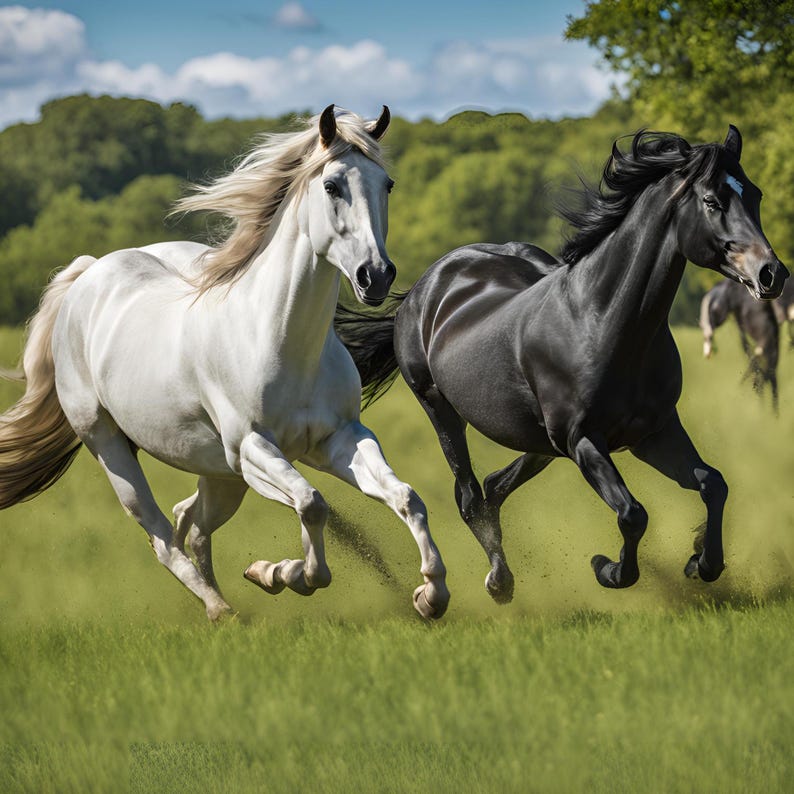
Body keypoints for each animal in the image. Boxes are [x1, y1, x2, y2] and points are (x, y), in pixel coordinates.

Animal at [0, 105, 450, 622]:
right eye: (332, 185)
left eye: (387, 184)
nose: (375, 276)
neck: (278, 339)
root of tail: (89, 272)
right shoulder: (253, 448)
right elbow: (312, 504)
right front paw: (282, 573)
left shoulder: (340, 438)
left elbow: (406, 497)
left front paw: (431, 594)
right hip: (112, 446)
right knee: (162, 535)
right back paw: (221, 609)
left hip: (220, 472)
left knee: (190, 520)